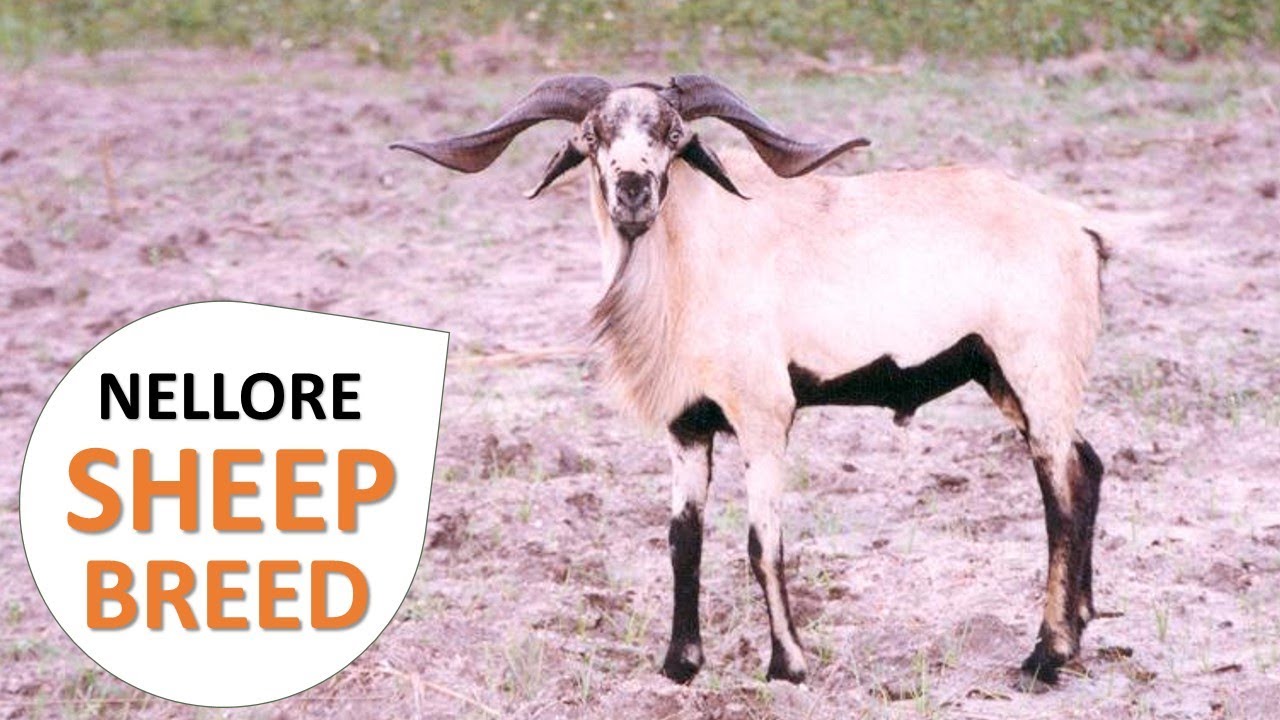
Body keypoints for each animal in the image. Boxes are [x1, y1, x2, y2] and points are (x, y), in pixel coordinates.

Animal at [392, 74, 1106, 689]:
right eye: (592, 136)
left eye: (674, 134)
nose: (633, 190)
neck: (693, 267)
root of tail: (1076, 227)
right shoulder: (687, 423)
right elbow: (683, 540)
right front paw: (679, 666)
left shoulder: (764, 413)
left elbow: (764, 542)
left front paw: (787, 666)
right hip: (1005, 378)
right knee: (1089, 467)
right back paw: (1080, 626)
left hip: (1036, 368)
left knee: (1060, 497)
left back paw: (1045, 657)